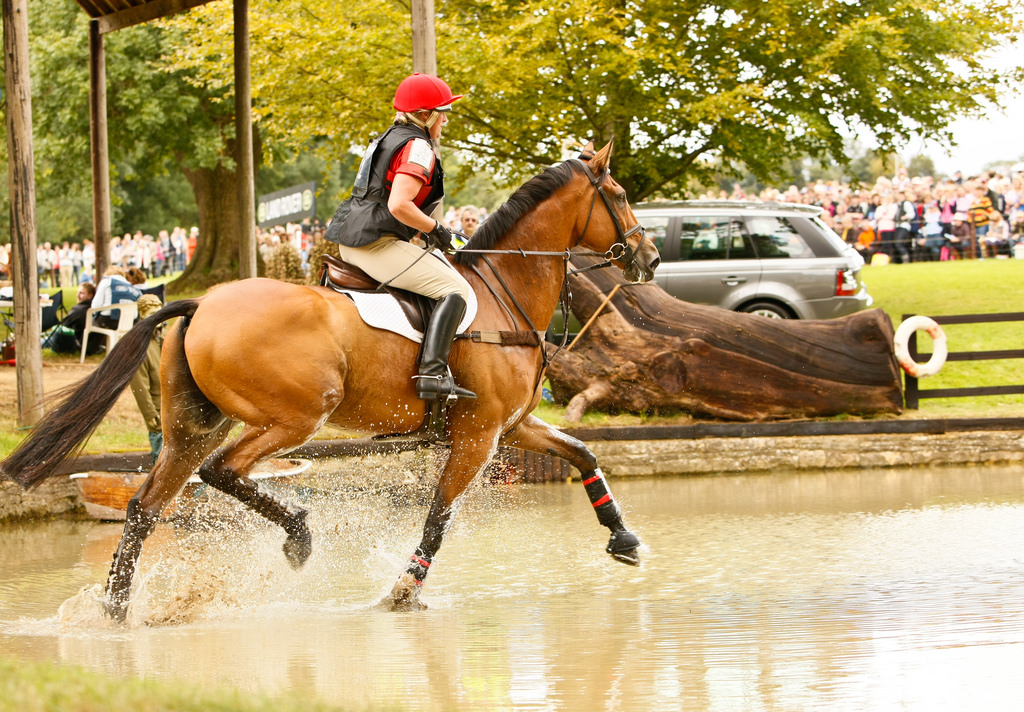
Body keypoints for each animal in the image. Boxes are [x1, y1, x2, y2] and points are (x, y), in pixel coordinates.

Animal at [1, 142, 660, 620]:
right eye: (621, 194)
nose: (649, 259)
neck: (504, 294)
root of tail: (201, 303)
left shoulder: (511, 426)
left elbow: (583, 453)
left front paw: (624, 539)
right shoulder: (479, 437)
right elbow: (439, 517)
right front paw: (403, 592)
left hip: (195, 423)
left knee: (145, 506)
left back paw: (115, 607)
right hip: (296, 415)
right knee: (224, 471)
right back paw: (298, 536)